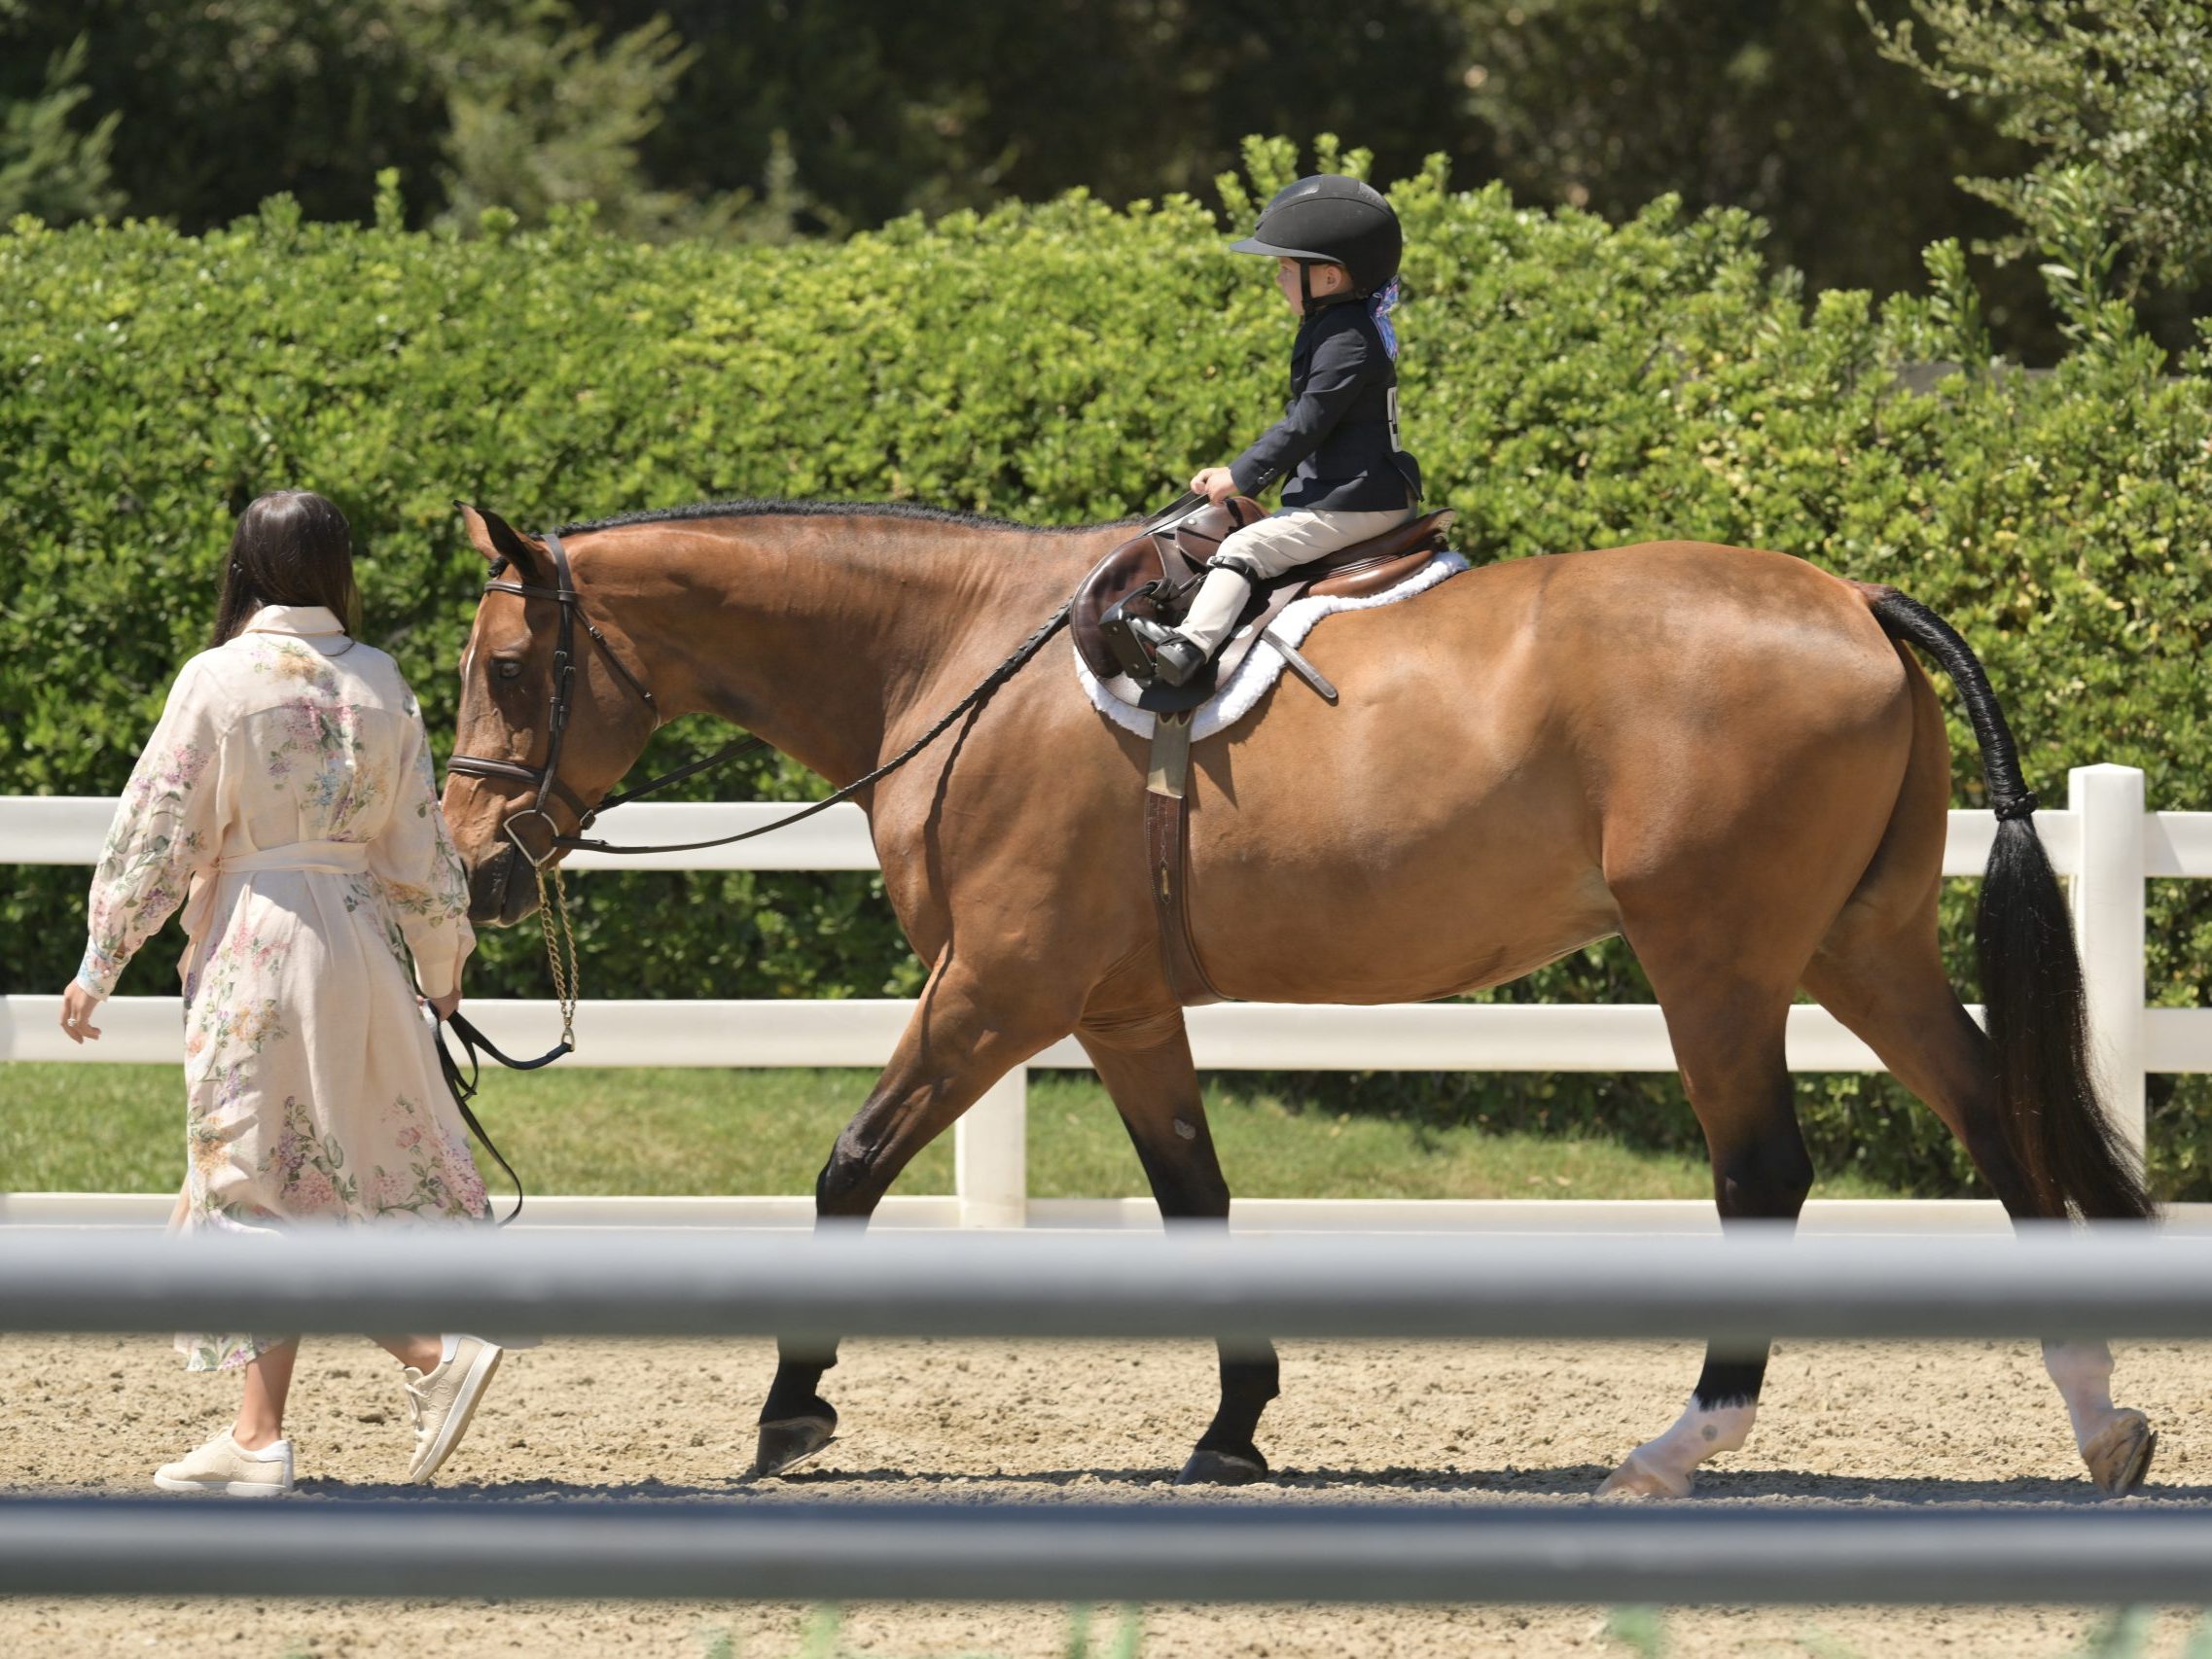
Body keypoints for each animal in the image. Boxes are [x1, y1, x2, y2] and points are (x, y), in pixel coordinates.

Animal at [438, 497, 2157, 1498]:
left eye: (513, 670)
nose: (472, 869)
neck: (959, 656)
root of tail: (1852, 597)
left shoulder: (994, 987)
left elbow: (848, 1168)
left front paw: (788, 1413)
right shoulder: (1118, 1010)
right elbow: (1193, 1199)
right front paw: (1232, 1424)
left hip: (1716, 964)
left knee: (1765, 1174)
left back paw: (1683, 1443)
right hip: (1856, 948)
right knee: (1997, 1124)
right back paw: (2095, 1421)